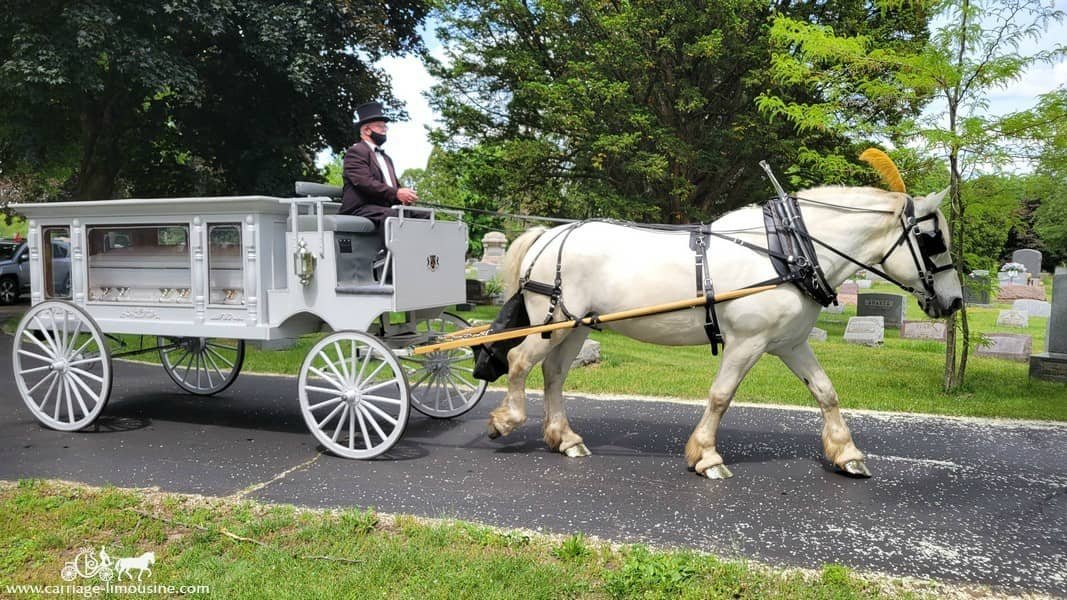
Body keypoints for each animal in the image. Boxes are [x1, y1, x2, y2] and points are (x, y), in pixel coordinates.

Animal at [487, 183, 962, 480]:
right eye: (933, 239)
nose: (956, 301)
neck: (789, 252)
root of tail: (549, 234)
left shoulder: (790, 344)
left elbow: (826, 392)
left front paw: (847, 453)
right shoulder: (747, 342)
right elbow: (721, 396)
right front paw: (706, 456)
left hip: (575, 328)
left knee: (554, 375)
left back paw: (565, 438)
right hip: (551, 323)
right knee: (519, 361)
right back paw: (507, 420)